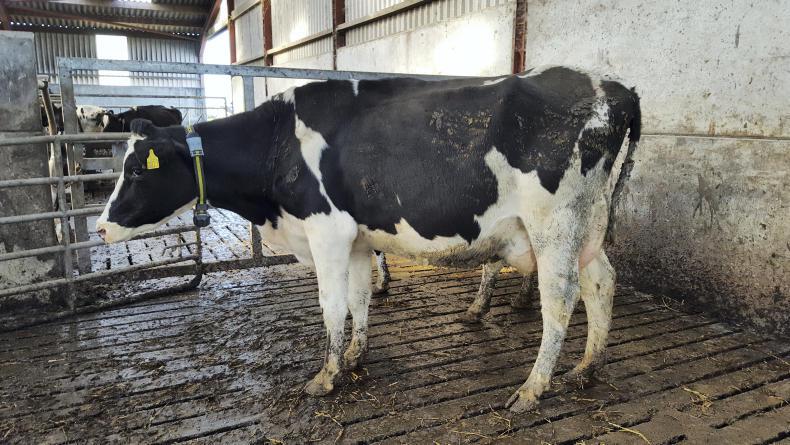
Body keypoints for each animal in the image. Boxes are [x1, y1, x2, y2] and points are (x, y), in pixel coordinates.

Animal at [95, 66, 641, 413]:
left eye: (137, 171)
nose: (101, 226)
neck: (276, 143)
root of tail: (612, 86)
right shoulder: (356, 238)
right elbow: (359, 299)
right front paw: (356, 356)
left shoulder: (327, 230)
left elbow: (332, 305)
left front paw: (326, 376)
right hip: (586, 226)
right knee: (601, 283)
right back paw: (587, 367)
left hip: (554, 224)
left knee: (561, 299)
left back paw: (533, 389)